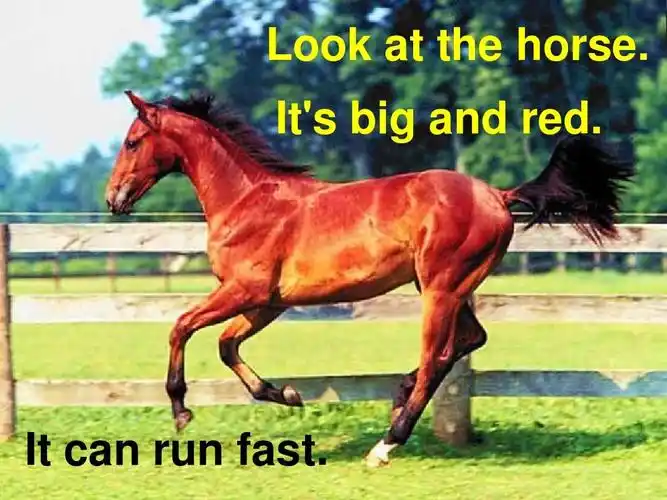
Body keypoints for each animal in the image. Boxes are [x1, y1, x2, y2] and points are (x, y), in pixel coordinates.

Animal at [105, 90, 634, 467]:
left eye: (132, 142)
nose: (113, 199)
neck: (248, 200)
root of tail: (498, 196)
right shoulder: (267, 302)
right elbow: (225, 345)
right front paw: (285, 394)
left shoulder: (244, 290)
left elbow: (181, 327)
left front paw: (181, 411)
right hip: (447, 287)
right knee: (467, 341)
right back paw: (398, 399)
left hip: (440, 287)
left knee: (437, 355)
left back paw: (386, 444)